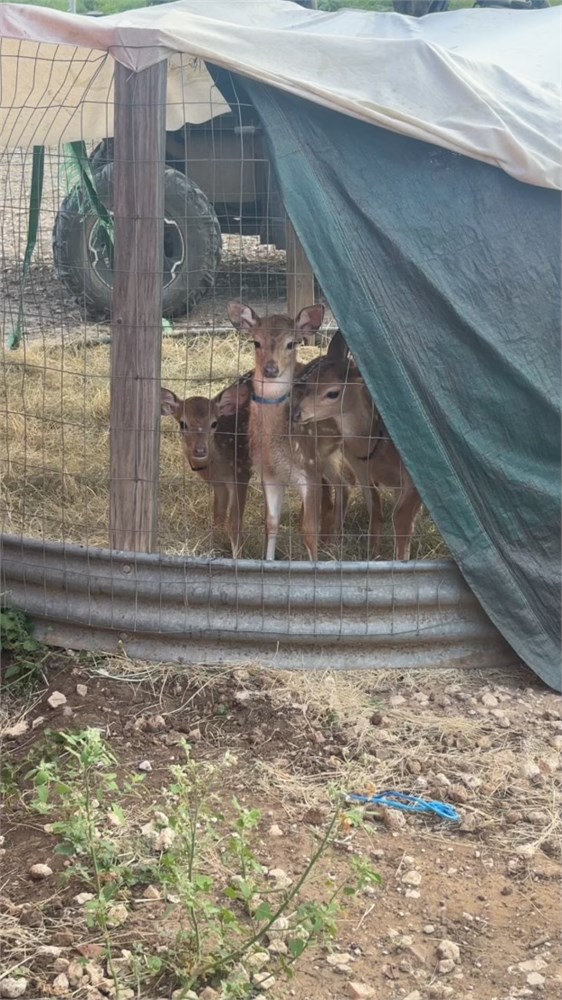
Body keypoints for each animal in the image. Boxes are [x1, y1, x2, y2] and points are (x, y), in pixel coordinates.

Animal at [160, 376, 252, 558]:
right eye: (183, 424)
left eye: (214, 423)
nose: (200, 450)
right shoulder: (219, 484)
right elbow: (218, 517)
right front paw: (214, 547)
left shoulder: (241, 472)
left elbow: (234, 524)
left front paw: (237, 557)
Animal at [226, 301, 350, 561]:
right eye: (256, 342)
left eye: (291, 343)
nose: (271, 369)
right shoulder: (270, 474)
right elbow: (271, 523)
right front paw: (269, 561)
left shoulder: (309, 469)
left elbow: (309, 531)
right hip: (327, 457)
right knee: (344, 484)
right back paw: (334, 541)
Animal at [291, 332, 422, 560]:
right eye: (311, 381)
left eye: (333, 393)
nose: (297, 413)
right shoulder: (364, 470)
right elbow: (376, 511)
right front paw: (373, 556)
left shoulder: (414, 479)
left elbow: (401, 521)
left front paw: (400, 560)